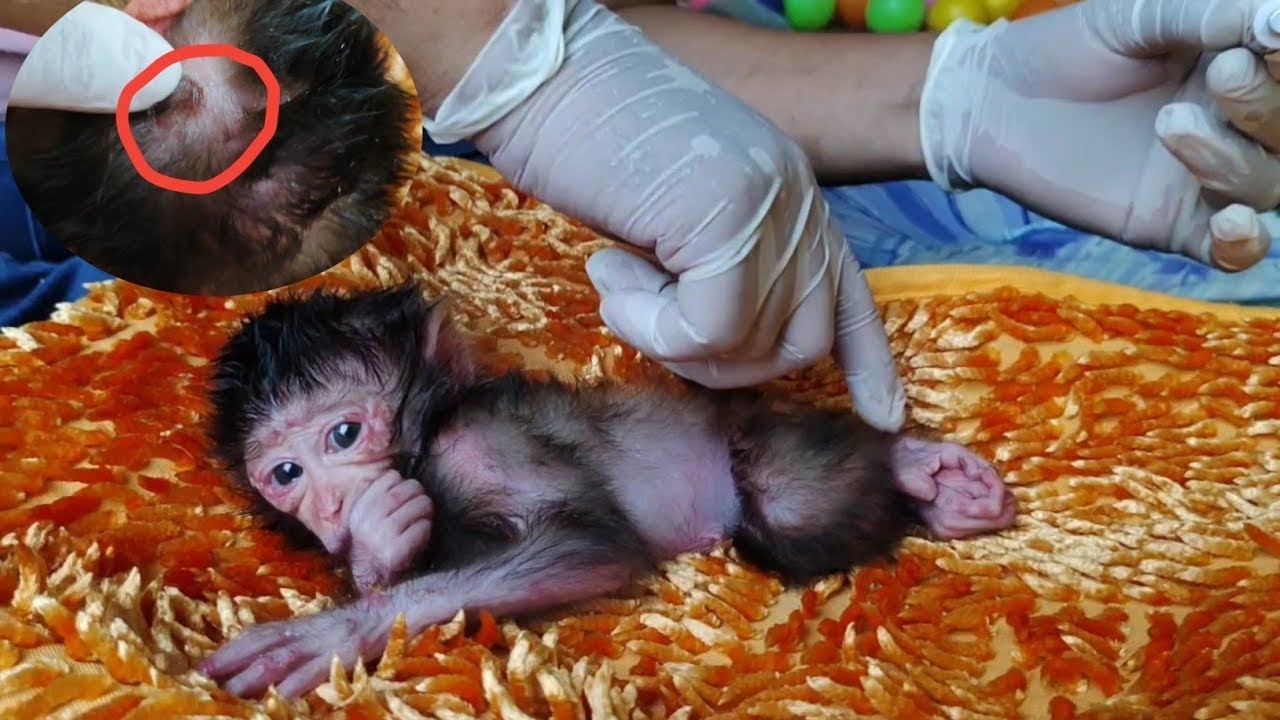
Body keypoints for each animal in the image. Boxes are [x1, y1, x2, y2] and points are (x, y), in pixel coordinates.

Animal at [198, 283, 1018, 699]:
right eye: (286, 474)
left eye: (344, 435)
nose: (332, 504)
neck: (430, 436)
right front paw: (375, 550)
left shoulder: (481, 446)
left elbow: (589, 548)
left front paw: (336, 633)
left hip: (779, 454)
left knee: (792, 500)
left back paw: (910, 462)